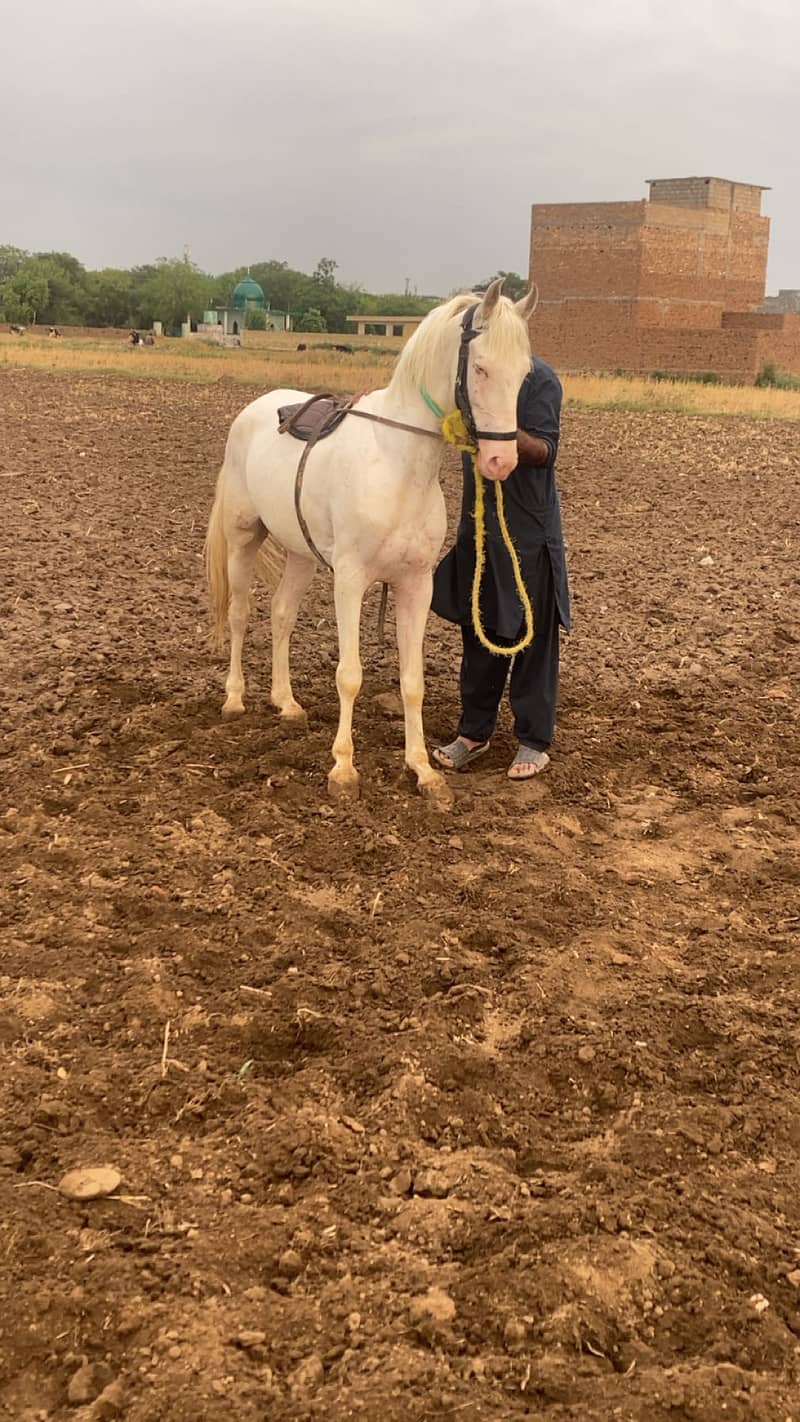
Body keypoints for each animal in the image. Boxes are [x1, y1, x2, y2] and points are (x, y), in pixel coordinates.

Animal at [204, 279, 537, 807]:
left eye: (524, 374)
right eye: (481, 367)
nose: (501, 462)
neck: (397, 462)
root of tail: (254, 410)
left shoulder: (415, 586)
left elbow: (413, 682)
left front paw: (422, 769)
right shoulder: (351, 581)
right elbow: (350, 675)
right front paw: (343, 769)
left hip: (300, 555)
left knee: (281, 616)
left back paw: (286, 702)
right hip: (243, 540)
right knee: (240, 614)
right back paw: (234, 698)